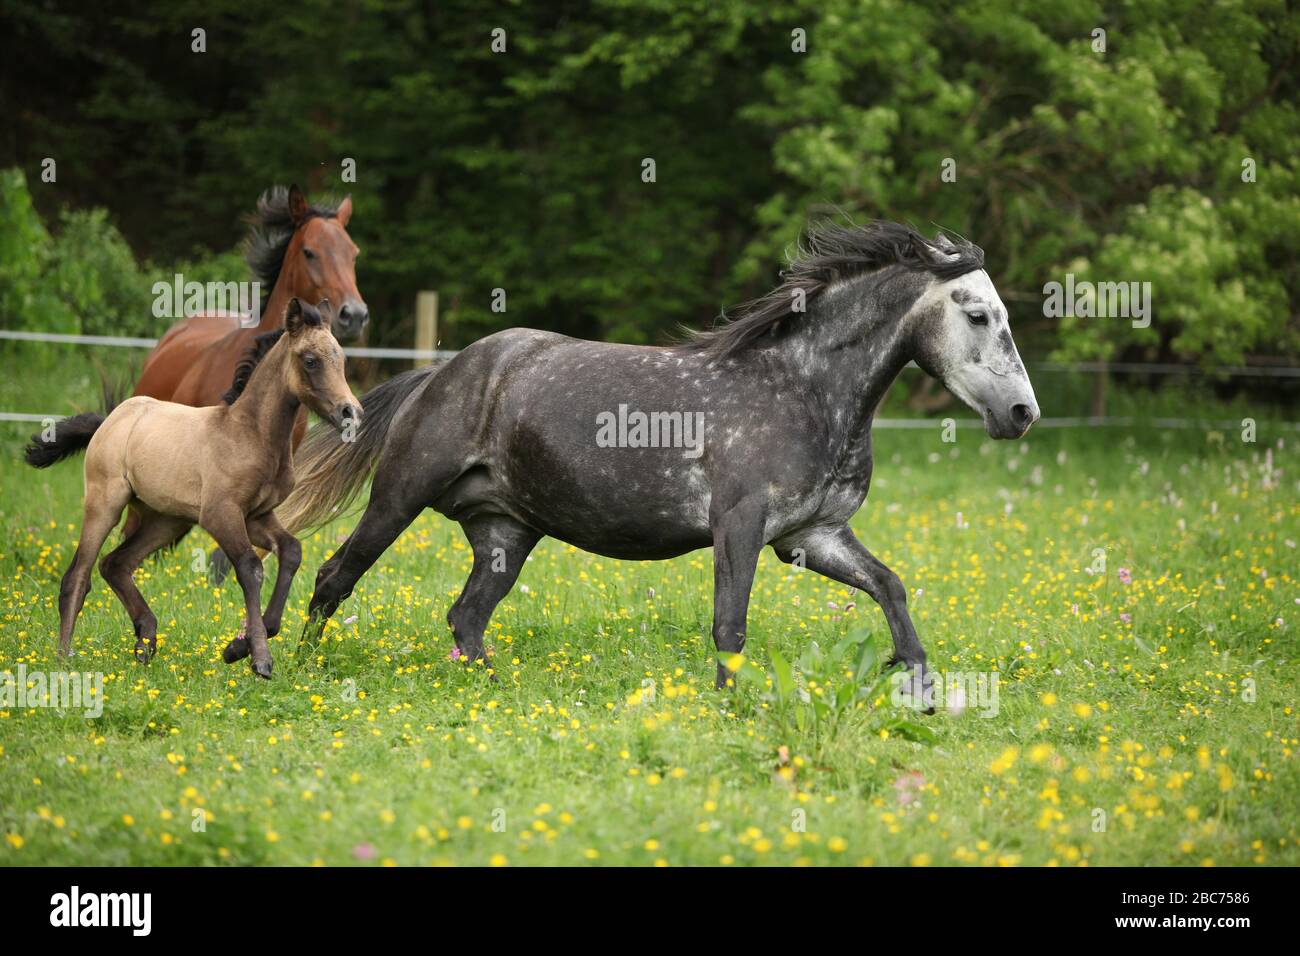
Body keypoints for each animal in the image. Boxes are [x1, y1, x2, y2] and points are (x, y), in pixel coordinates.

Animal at [25, 299, 361, 678]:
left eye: (341, 359)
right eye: (310, 360)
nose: (350, 412)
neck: (249, 435)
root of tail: (111, 418)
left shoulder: (257, 516)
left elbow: (291, 551)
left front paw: (237, 647)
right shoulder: (220, 514)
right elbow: (250, 568)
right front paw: (258, 658)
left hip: (166, 521)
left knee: (115, 564)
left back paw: (146, 641)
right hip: (105, 503)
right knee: (78, 576)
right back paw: (63, 660)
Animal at [279, 221, 1040, 696]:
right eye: (978, 315)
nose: (1021, 413)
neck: (803, 392)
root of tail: (443, 372)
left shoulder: (812, 535)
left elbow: (890, 587)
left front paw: (921, 686)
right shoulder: (740, 527)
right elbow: (731, 624)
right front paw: (731, 708)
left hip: (507, 533)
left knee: (466, 617)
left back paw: (492, 691)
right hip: (399, 497)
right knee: (335, 576)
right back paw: (297, 670)